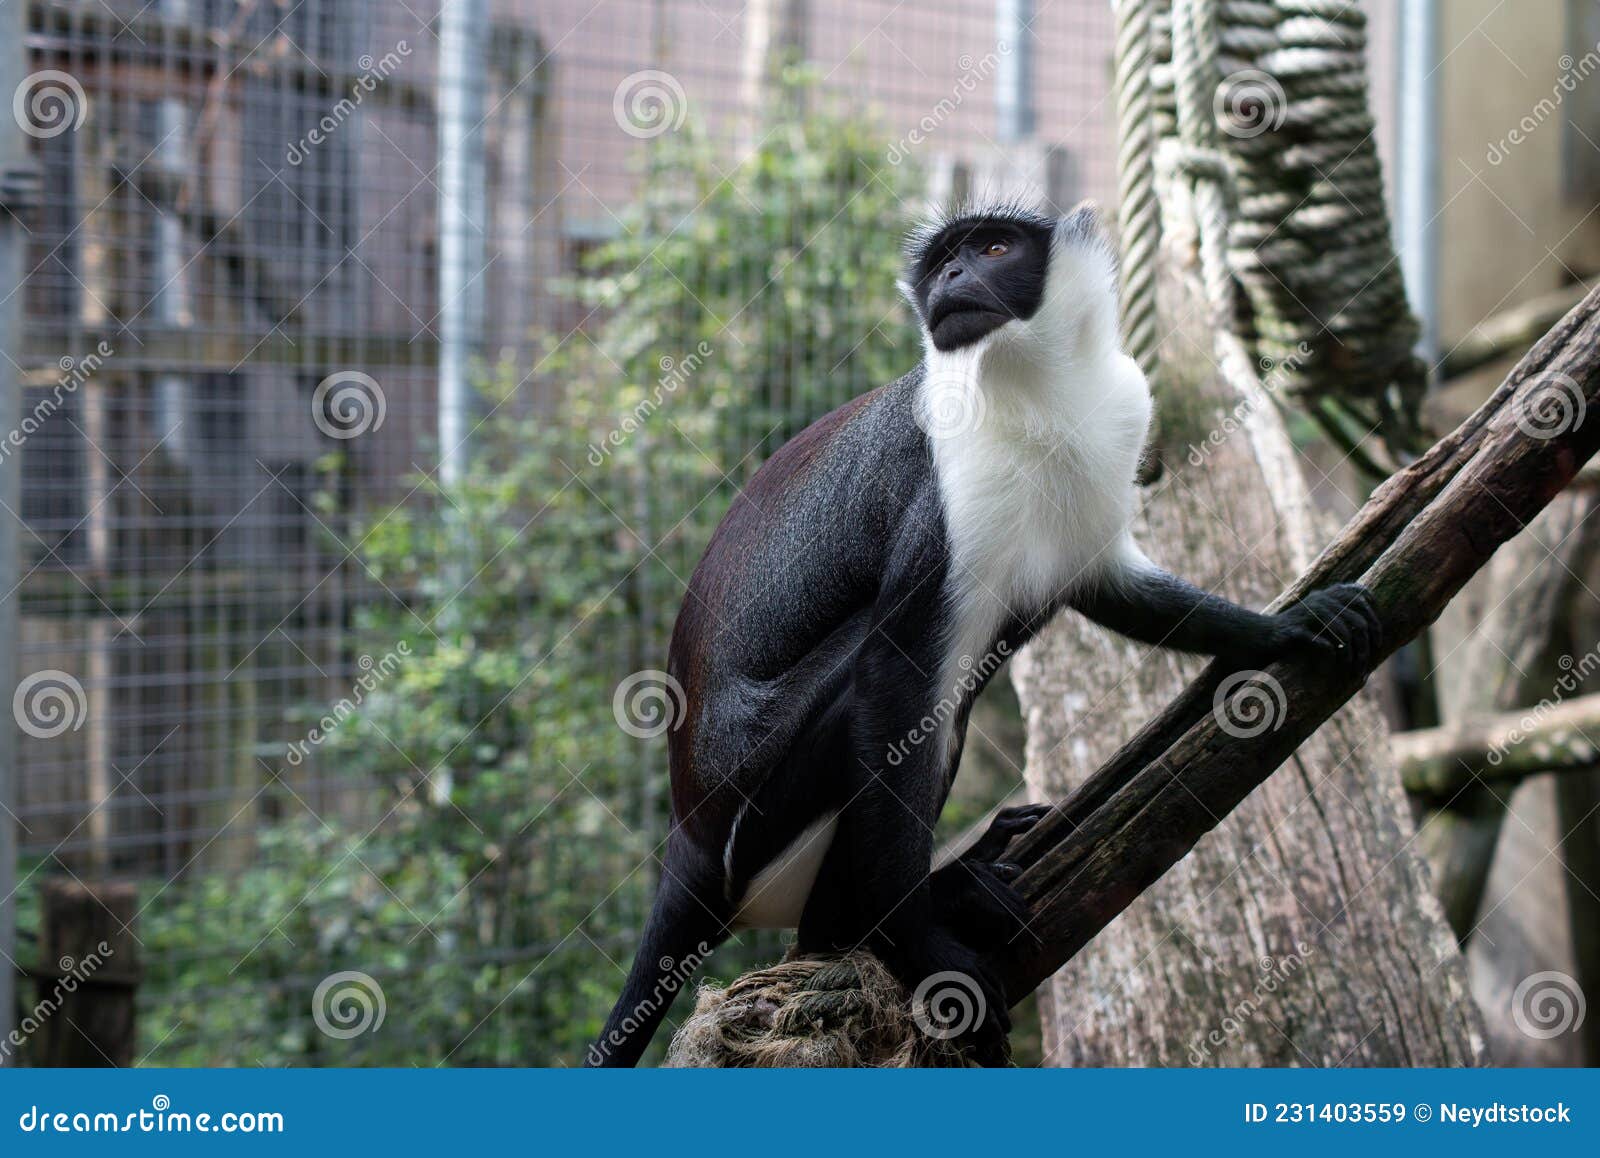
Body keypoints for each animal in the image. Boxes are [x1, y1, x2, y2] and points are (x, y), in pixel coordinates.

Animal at [586, 200, 1380, 1067]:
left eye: (995, 247)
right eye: (942, 263)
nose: (956, 278)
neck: (1039, 384)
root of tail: (687, 845)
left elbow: (1114, 589)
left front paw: (1284, 629)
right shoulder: (945, 499)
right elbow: (893, 679)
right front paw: (925, 952)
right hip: (758, 823)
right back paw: (895, 911)